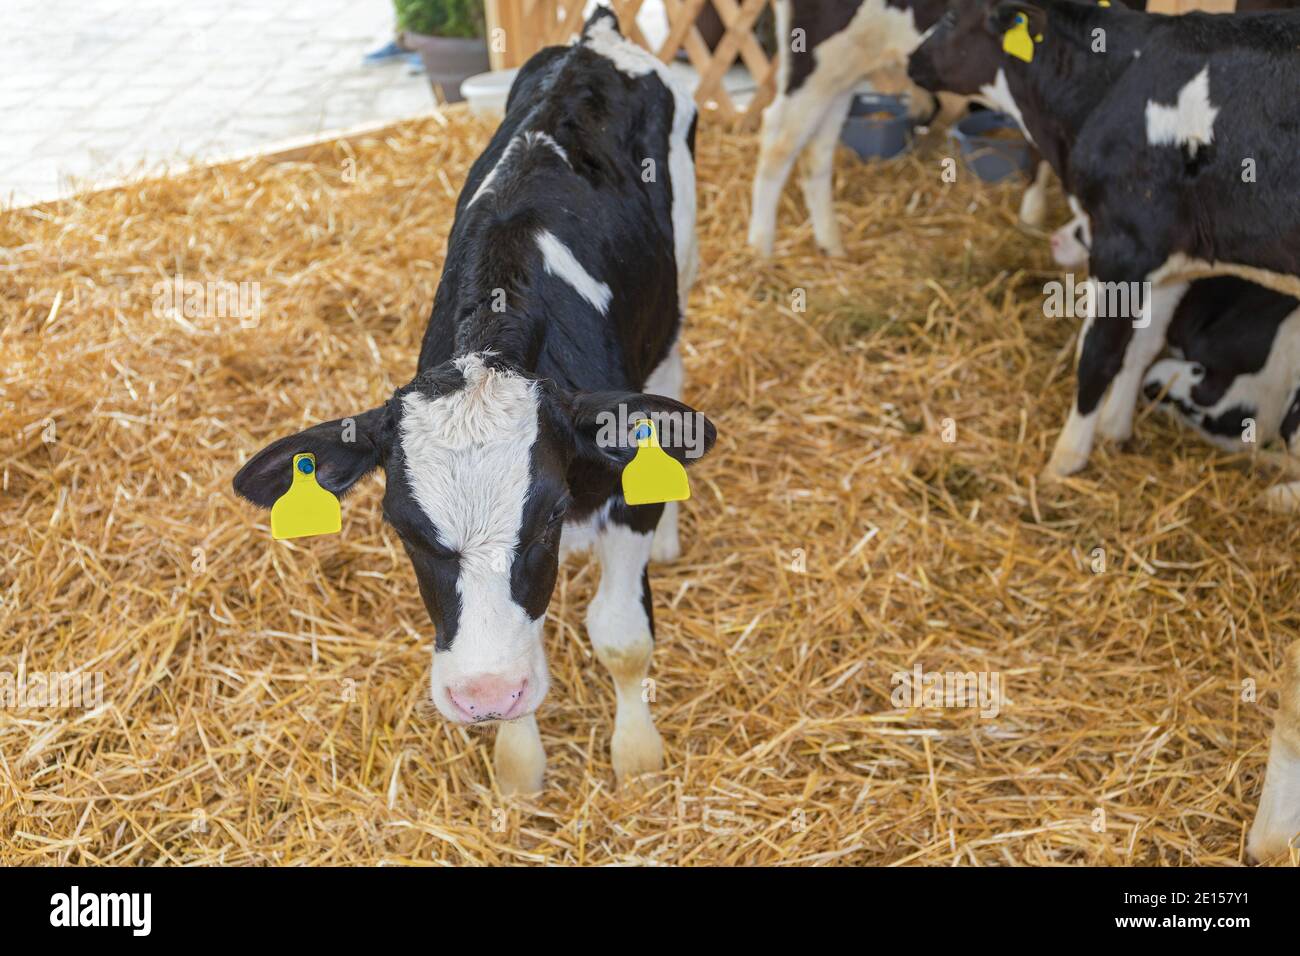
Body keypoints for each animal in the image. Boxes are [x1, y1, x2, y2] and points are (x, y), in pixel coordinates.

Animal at [232, 9, 716, 795]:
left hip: (683, 268)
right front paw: (518, 765)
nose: (482, 695)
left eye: (547, 516)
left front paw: (638, 757)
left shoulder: (618, 486)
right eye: (403, 528)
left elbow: (620, 637)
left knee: (669, 369)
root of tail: (594, 35)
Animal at [909, 1, 1300, 480]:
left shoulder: (1123, 244)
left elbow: (1097, 357)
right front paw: (1115, 430)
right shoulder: (1172, 257)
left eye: (949, 18)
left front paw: (1066, 459)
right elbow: (1141, 346)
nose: (910, 60)